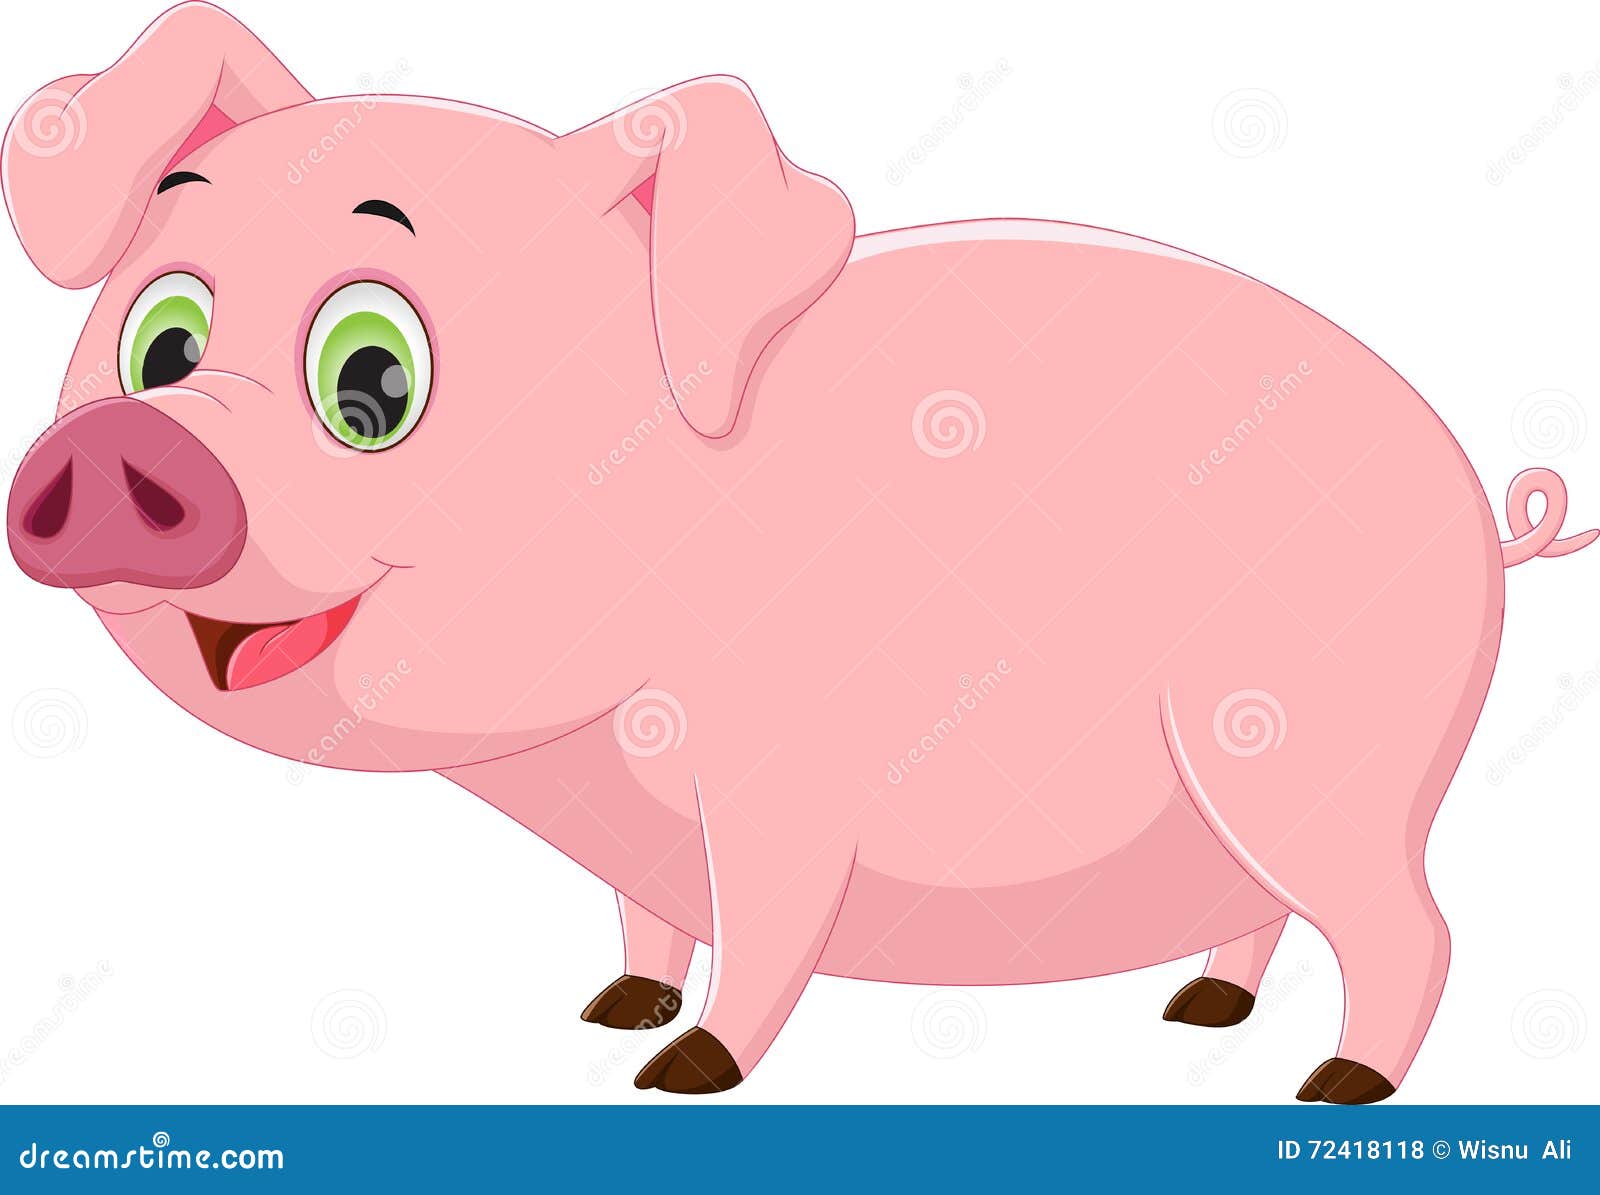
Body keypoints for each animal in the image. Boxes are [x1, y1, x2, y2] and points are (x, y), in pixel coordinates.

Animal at [5, 3, 1594, 1101]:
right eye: (161, 345)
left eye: (375, 377)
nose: (127, 445)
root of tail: (1482, 508)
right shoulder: (642, 840)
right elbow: (650, 914)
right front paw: (609, 1016)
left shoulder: (784, 780)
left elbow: (768, 922)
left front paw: (675, 1075)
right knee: (1274, 915)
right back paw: (1199, 1019)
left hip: (1315, 750)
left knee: (1415, 923)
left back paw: (1336, 1087)